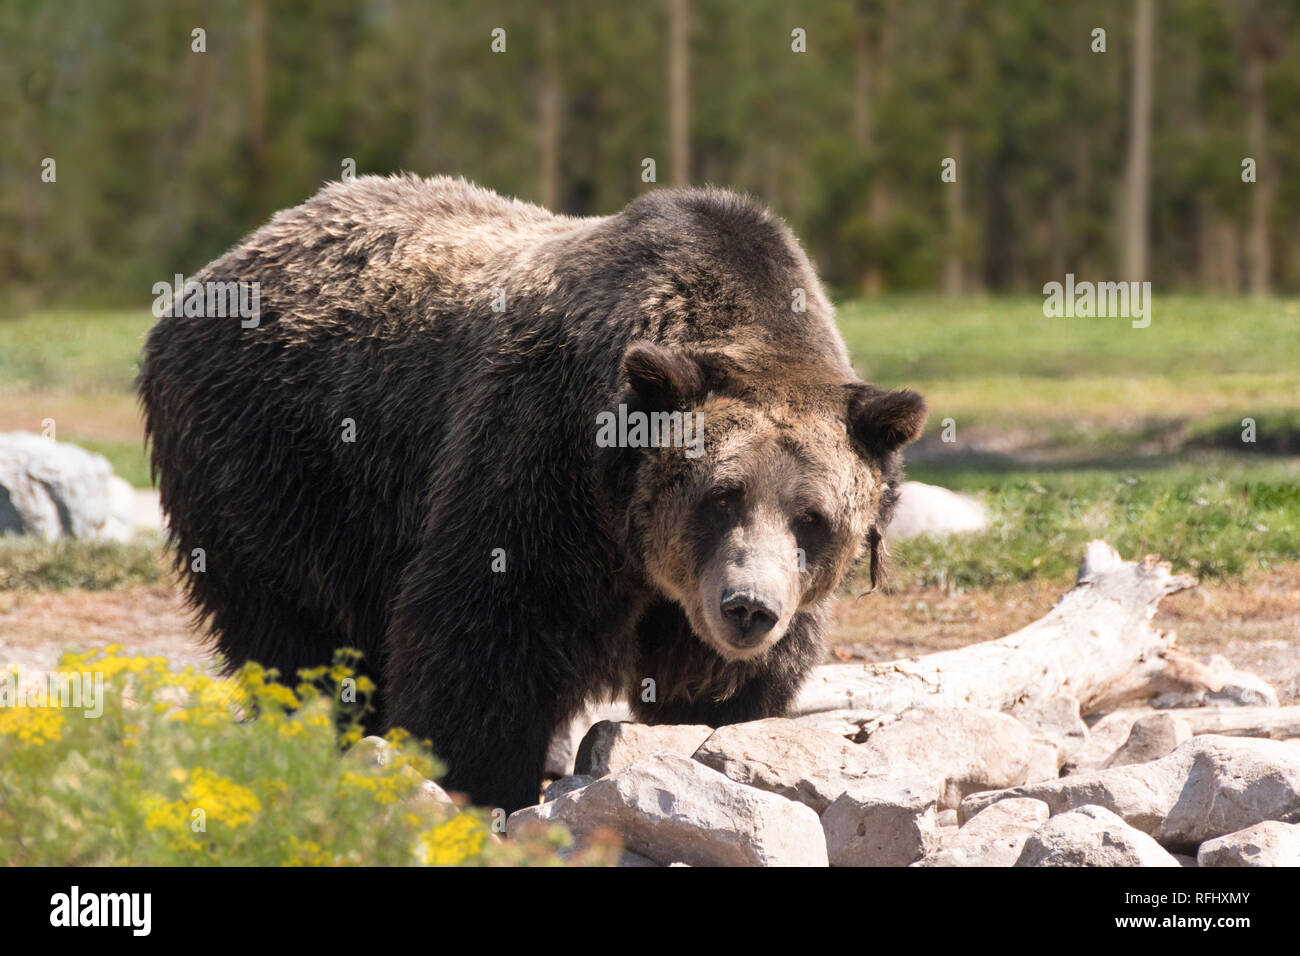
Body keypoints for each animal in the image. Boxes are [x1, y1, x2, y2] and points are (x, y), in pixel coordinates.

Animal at [137, 174, 926, 813]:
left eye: (812, 518)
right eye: (720, 496)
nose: (748, 608)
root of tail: (223, 265)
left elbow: (727, 683)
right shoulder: (542, 460)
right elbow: (487, 632)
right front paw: (483, 781)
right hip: (275, 457)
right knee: (293, 624)